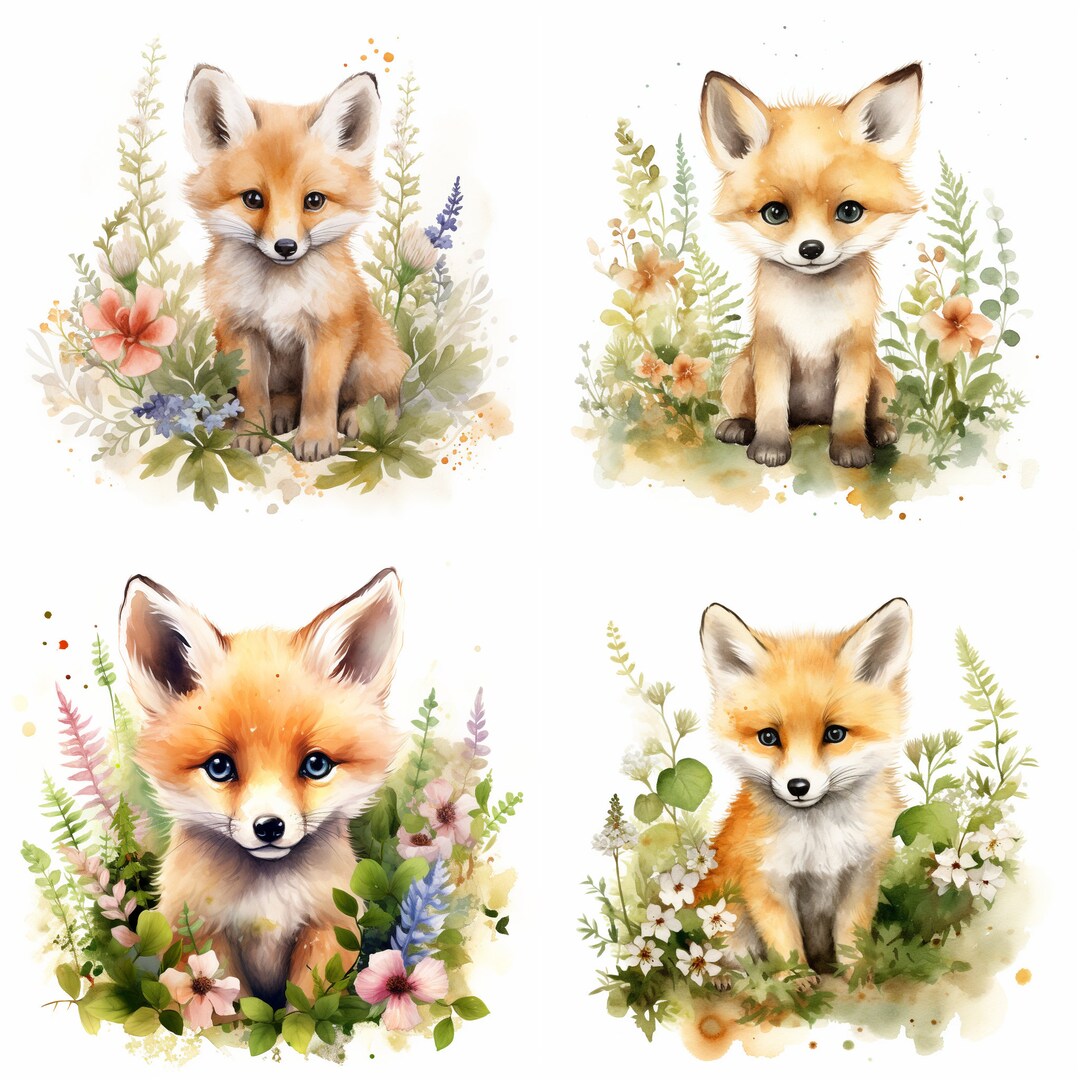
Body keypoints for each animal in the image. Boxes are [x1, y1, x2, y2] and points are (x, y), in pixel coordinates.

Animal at [119, 568, 404, 1007]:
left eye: (316, 765)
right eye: (219, 767)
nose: (269, 826)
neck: (266, 902)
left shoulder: (329, 926)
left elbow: (304, 1006)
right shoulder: (198, 931)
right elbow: (228, 1008)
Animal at [183, 65, 410, 462]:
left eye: (314, 201)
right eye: (253, 199)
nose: (285, 247)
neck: (280, 292)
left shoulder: (329, 330)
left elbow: (319, 395)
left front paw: (317, 439)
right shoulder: (241, 331)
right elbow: (252, 393)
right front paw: (252, 433)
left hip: (371, 360)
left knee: (386, 396)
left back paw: (359, 416)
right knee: (284, 395)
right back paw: (275, 415)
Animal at [696, 598, 912, 985]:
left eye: (835, 734)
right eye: (768, 737)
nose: (798, 787)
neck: (819, 839)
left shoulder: (860, 875)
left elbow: (852, 936)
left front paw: (858, 973)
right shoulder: (767, 881)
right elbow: (785, 940)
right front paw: (796, 979)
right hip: (726, 917)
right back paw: (720, 975)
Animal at [699, 65, 924, 469]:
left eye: (849, 211)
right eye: (775, 213)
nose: (811, 249)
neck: (814, 311)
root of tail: (812, 419)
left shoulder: (855, 348)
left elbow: (849, 406)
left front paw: (850, 447)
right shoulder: (772, 345)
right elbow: (772, 406)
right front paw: (769, 446)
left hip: (882, 377)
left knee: (874, 410)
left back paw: (880, 430)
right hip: (739, 372)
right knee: (750, 409)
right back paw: (740, 426)